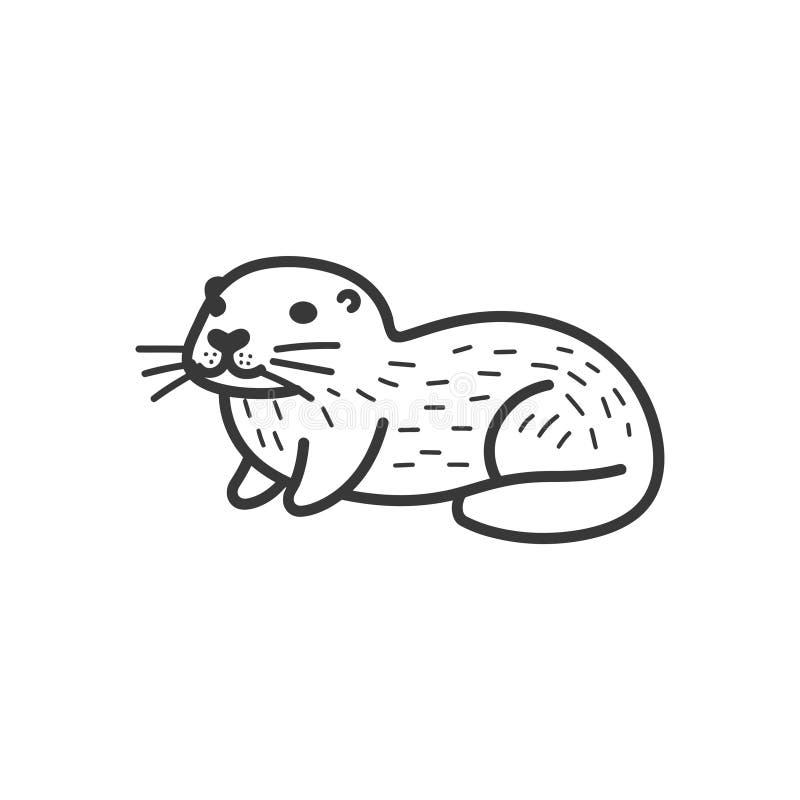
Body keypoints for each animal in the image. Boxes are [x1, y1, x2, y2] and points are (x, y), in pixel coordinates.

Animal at [137, 256, 663, 544]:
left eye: (302, 312)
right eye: (217, 306)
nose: (227, 336)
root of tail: (641, 446)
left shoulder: (342, 438)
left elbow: (322, 478)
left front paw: (298, 501)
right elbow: (255, 469)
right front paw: (248, 491)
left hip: (535, 418)